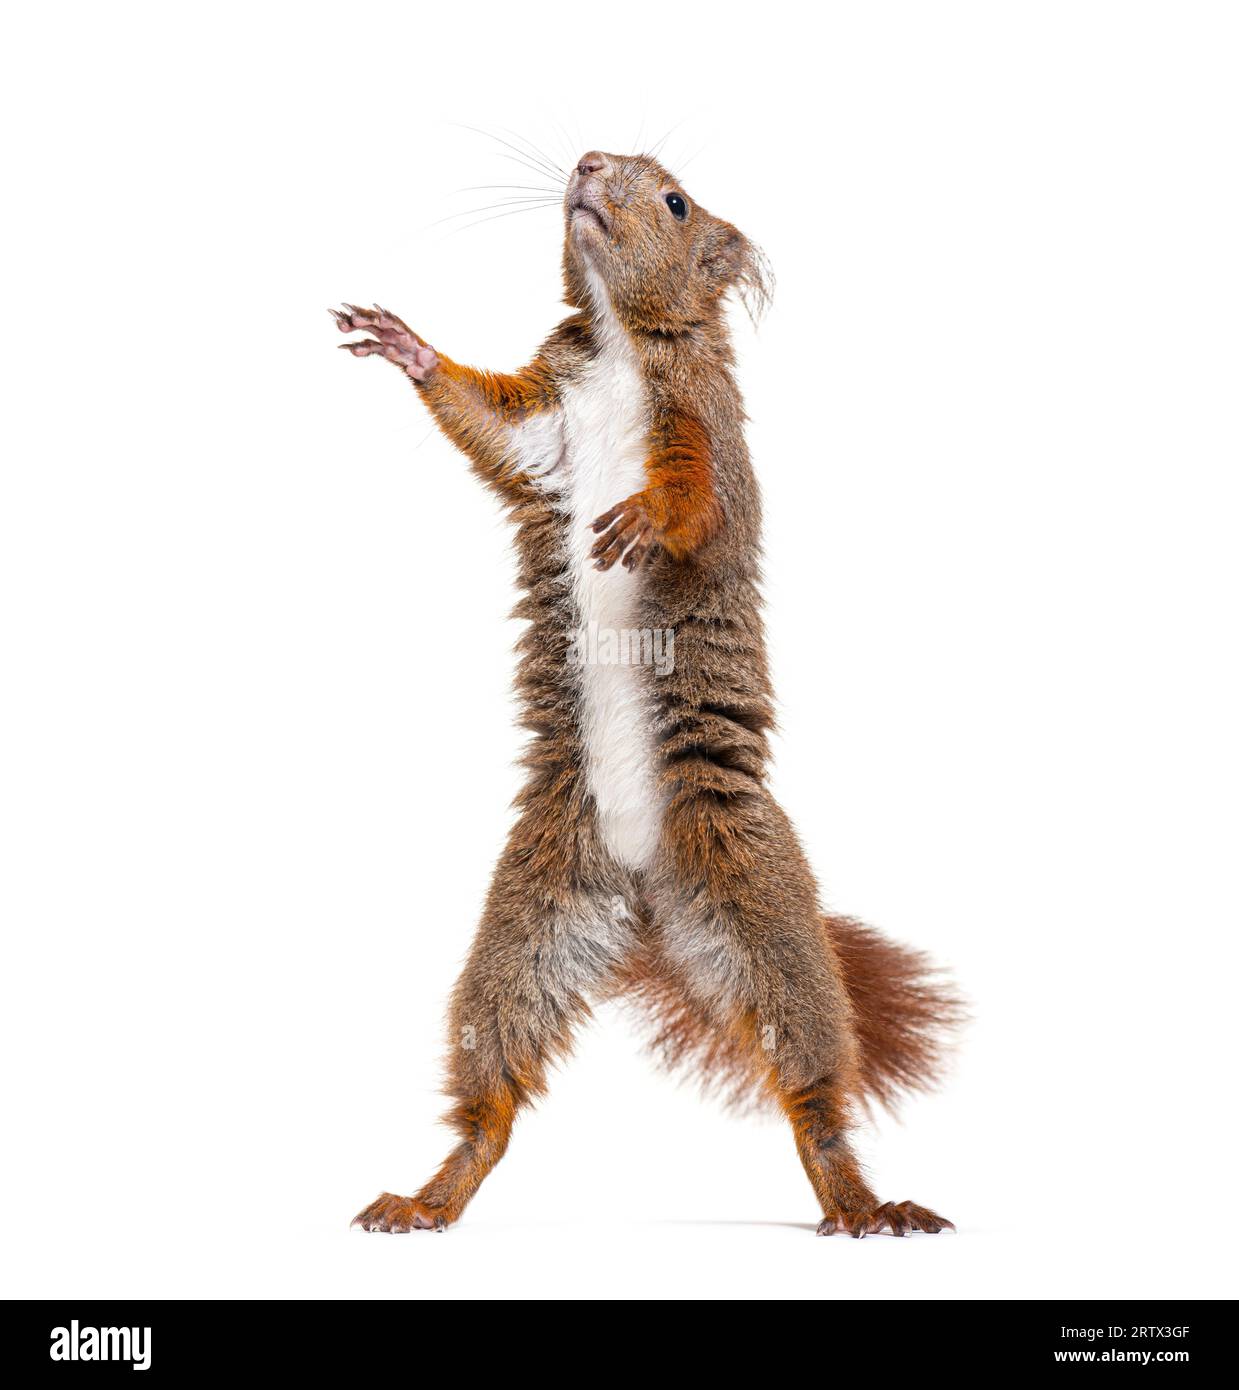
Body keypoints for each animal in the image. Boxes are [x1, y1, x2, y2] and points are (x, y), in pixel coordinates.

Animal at [334, 149, 961, 1238]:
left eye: (674, 201)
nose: (587, 165)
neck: (626, 351)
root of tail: (645, 900)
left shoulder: (707, 433)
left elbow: (696, 507)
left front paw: (642, 521)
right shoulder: (544, 428)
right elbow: (487, 424)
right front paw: (410, 349)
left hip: (760, 906)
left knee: (811, 1084)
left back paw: (863, 1202)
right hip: (534, 916)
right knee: (492, 1085)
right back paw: (428, 1197)